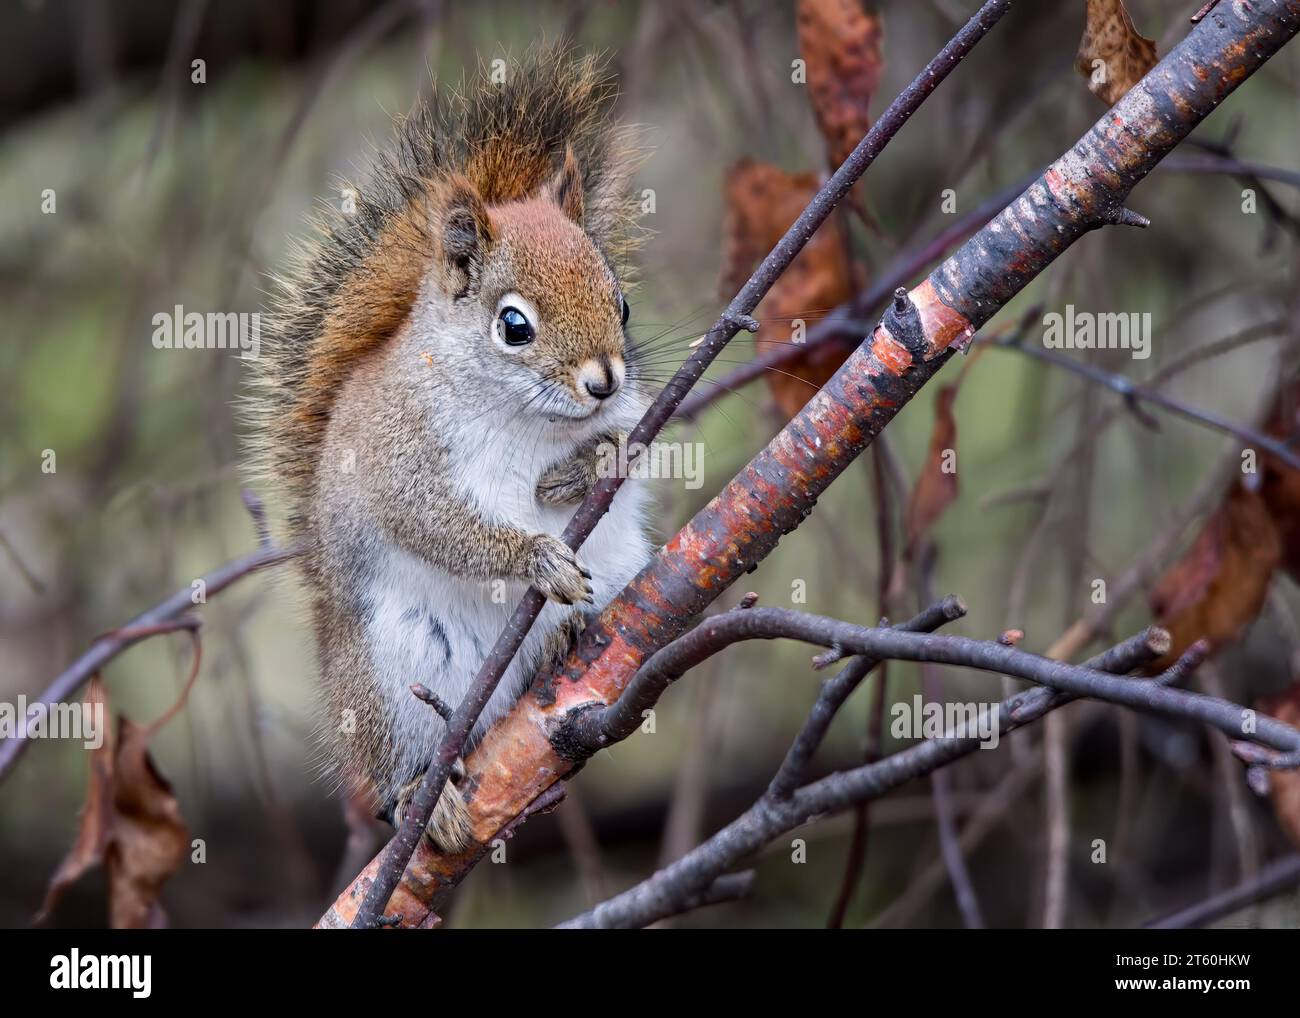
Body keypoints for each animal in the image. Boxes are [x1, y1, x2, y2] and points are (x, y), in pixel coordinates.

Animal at [243, 48, 653, 852]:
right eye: (514, 326)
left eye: (621, 302)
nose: (602, 380)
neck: (530, 419)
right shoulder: (394, 454)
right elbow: (431, 520)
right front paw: (535, 555)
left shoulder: (634, 410)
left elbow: (634, 446)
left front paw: (586, 466)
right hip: (389, 680)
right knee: (401, 758)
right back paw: (421, 798)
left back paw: (561, 641)